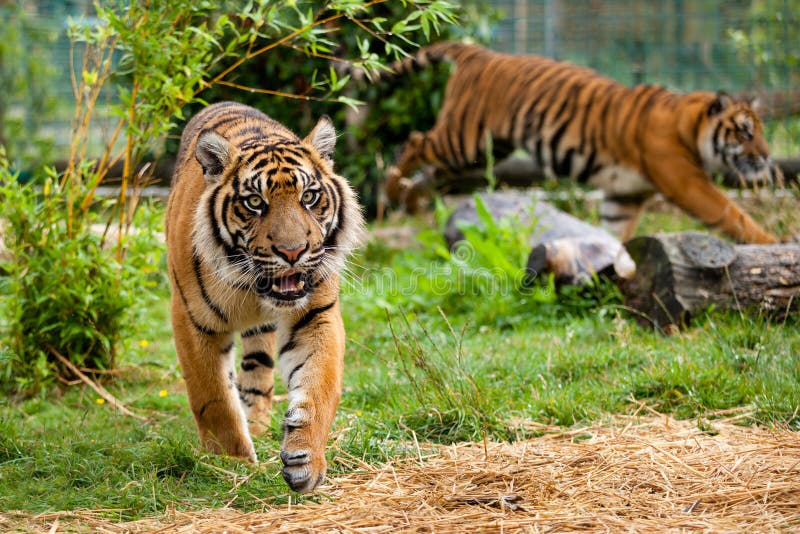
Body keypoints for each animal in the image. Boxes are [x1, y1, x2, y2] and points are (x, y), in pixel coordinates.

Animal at [165, 101, 365, 493]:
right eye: (255, 202)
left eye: (309, 197)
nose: (293, 252)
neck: (252, 287)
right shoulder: (191, 320)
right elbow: (212, 396)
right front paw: (230, 462)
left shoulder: (316, 314)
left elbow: (320, 387)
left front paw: (306, 460)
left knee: (258, 375)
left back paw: (257, 425)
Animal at [371, 41, 780, 244]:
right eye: (746, 132)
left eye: (760, 131)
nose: (766, 156)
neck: (689, 125)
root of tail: (479, 52)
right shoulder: (686, 182)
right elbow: (732, 214)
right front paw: (772, 245)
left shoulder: (625, 196)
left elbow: (615, 232)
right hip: (465, 138)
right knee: (415, 142)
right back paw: (390, 189)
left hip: (481, 151)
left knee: (431, 173)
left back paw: (411, 201)